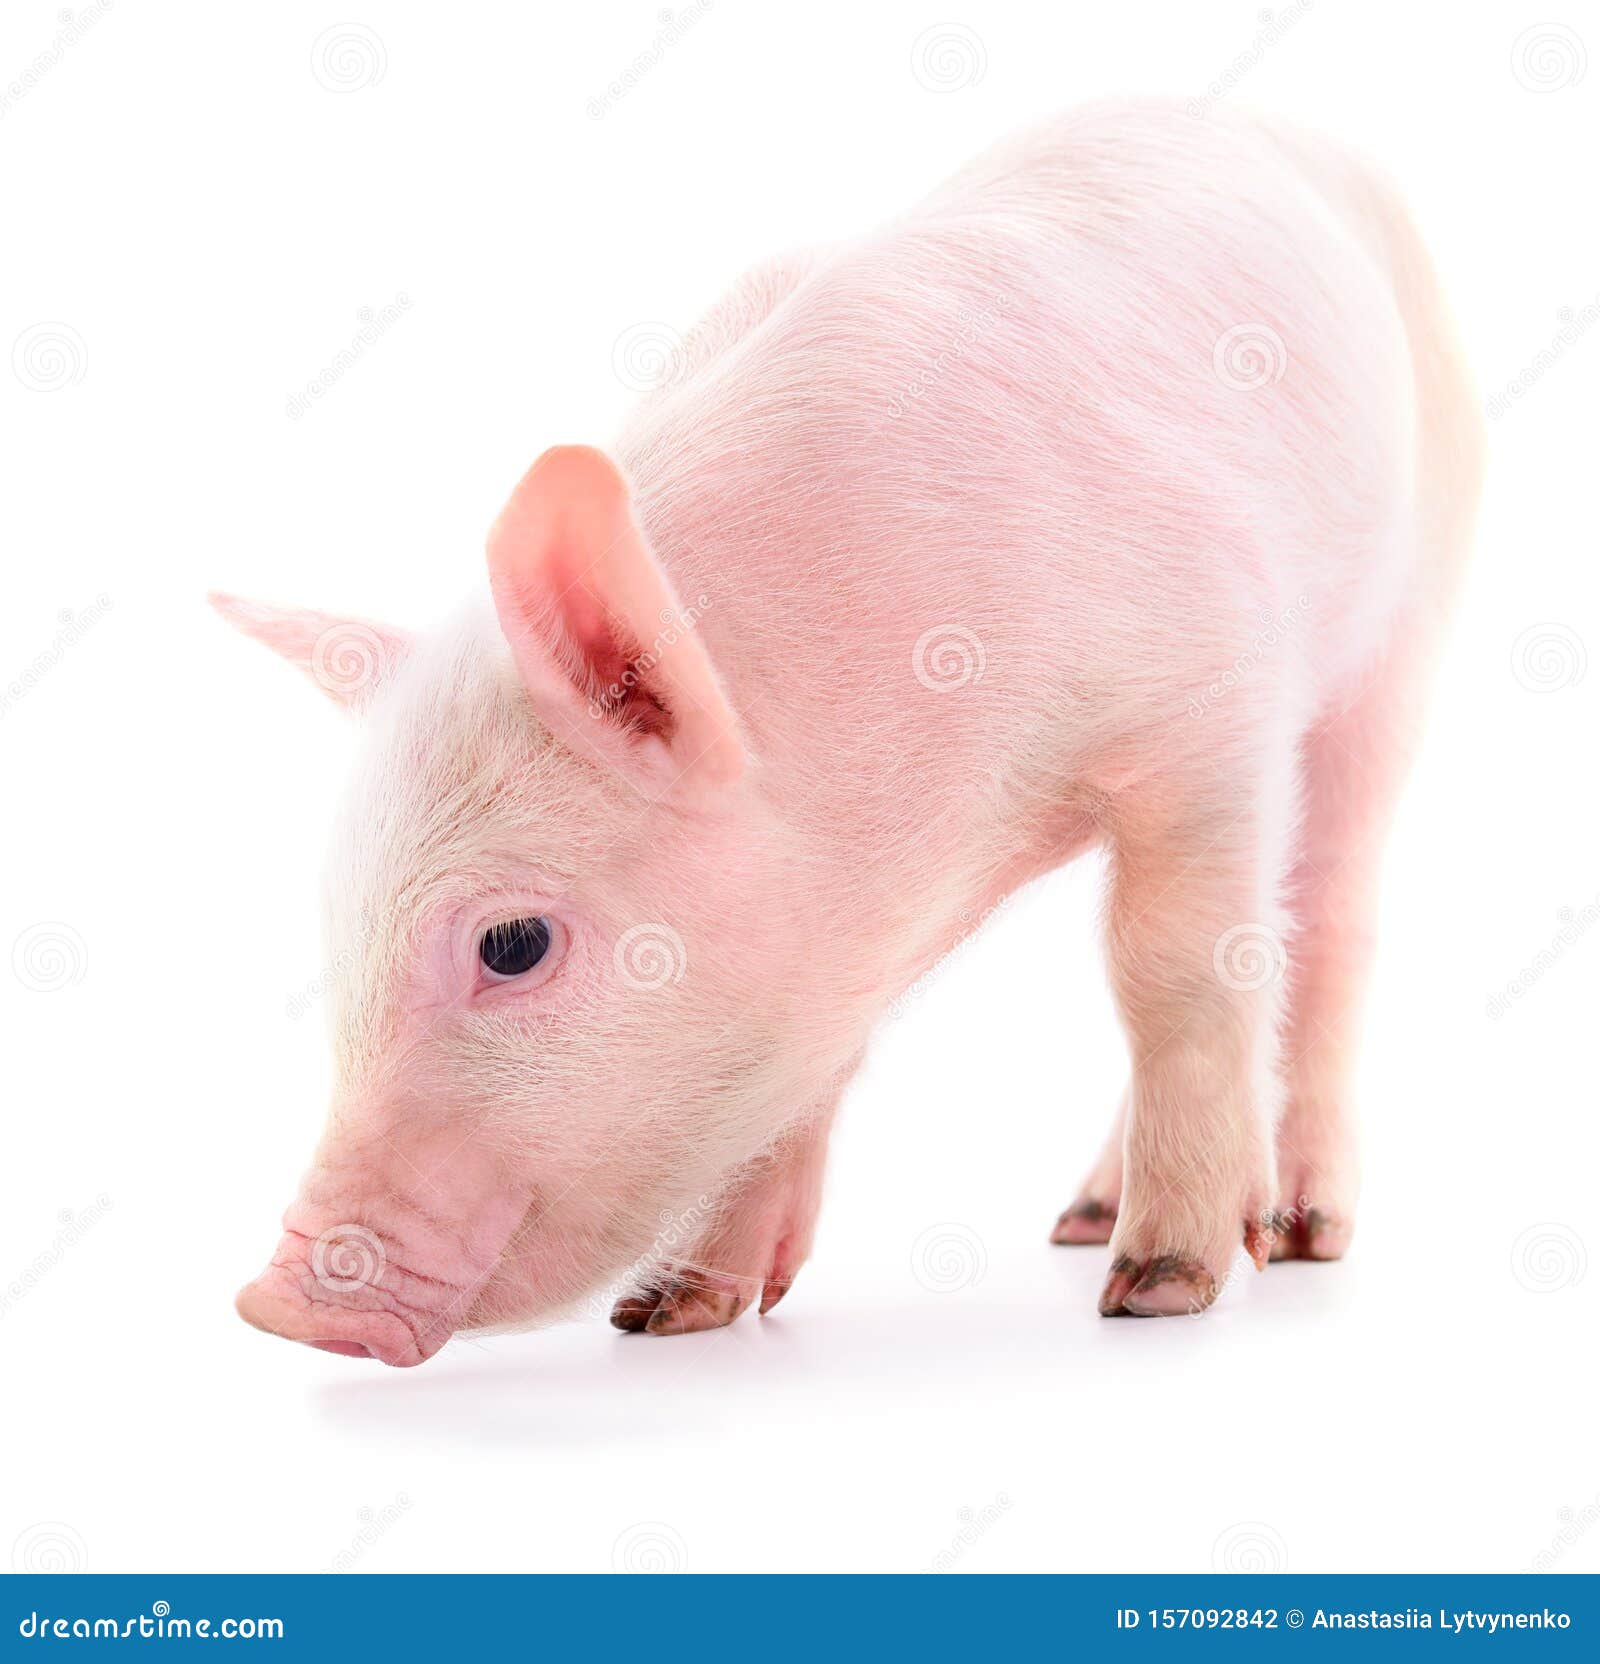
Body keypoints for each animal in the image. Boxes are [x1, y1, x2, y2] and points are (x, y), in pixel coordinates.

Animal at [217, 100, 1482, 1364]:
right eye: (335, 932)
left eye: (514, 942)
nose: (280, 1304)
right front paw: (670, 1313)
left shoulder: (1213, 709)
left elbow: (1172, 970)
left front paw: (1161, 1289)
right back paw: (1079, 1219)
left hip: (1408, 622)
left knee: (1322, 909)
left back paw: (1288, 1231)